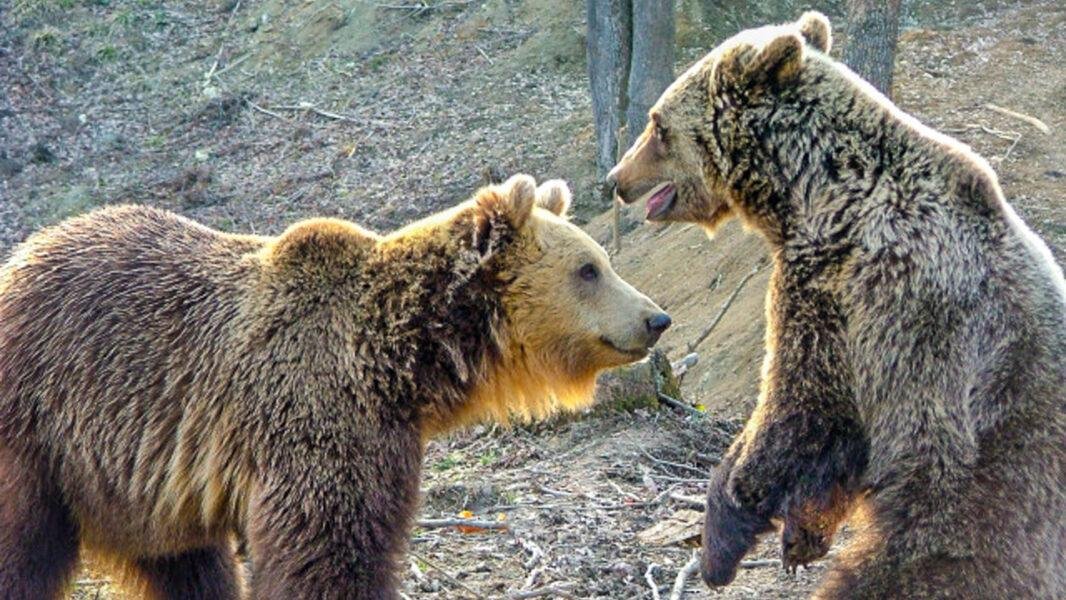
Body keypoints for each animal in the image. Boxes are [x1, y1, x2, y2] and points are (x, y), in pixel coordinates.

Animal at [0, 174, 671, 599]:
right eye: (588, 268)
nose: (656, 317)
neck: (398, 358)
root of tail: (22, 258)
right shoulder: (315, 413)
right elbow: (328, 551)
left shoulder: (383, 435)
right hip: (40, 423)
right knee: (23, 545)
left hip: (136, 483)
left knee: (187, 567)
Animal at [608, 11, 1065, 600]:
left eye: (658, 125)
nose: (616, 179)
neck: (812, 193)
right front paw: (799, 539)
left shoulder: (850, 290)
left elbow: (800, 407)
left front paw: (722, 533)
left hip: (972, 486)